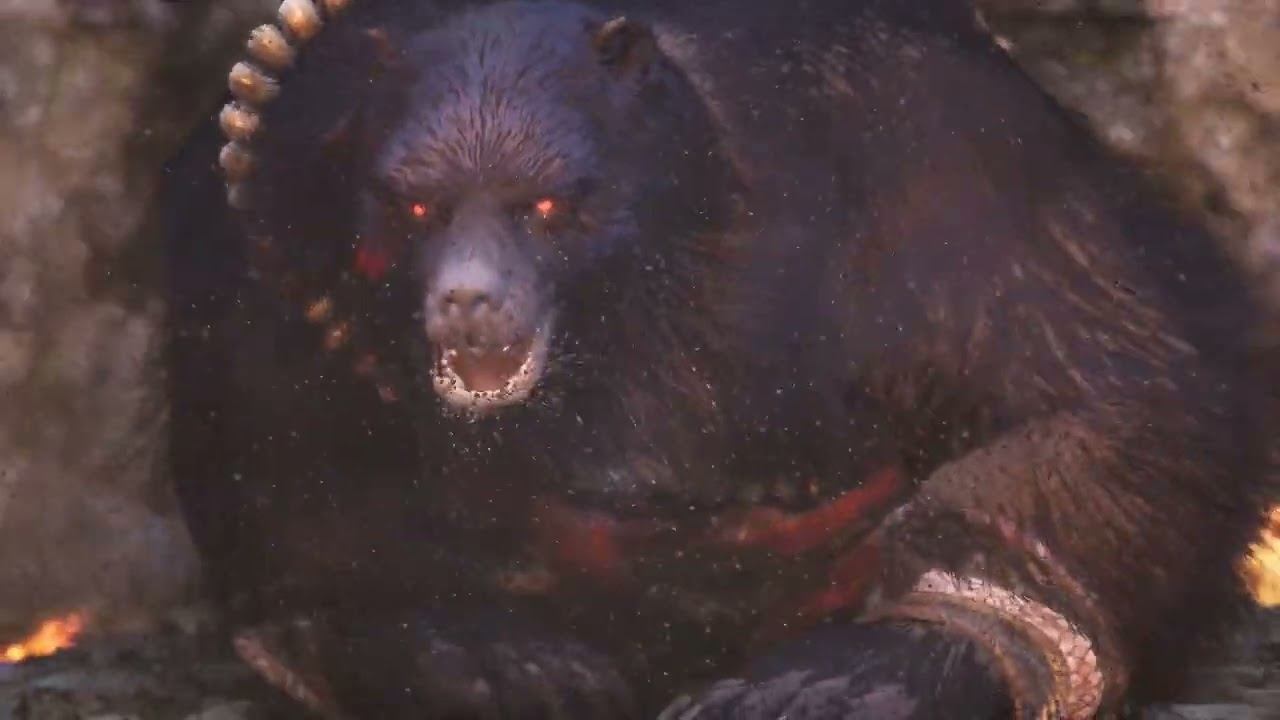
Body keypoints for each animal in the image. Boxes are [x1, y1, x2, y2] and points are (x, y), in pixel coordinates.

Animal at [160, 0, 1280, 717]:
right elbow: (278, 431)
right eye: (416, 205)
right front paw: (462, 647)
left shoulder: (946, 159)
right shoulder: (277, 226)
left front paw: (863, 670)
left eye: (549, 203)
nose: (469, 301)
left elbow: (1109, 399)